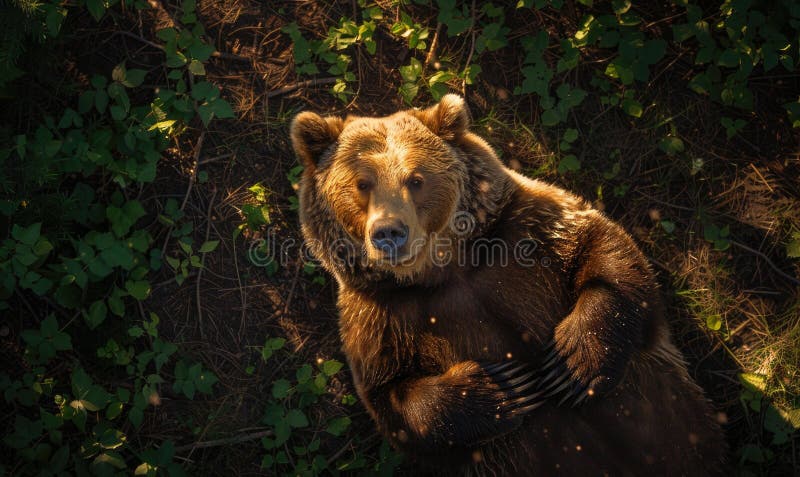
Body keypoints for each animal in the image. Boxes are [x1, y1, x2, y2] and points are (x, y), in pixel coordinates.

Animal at [290, 94, 725, 476]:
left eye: (415, 178)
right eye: (362, 183)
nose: (388, 233)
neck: (446, 271)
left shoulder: (521, 233)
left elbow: (602, 247)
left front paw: (570, 365)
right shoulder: (380, 314)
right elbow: (394, 399)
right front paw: (506, 387)